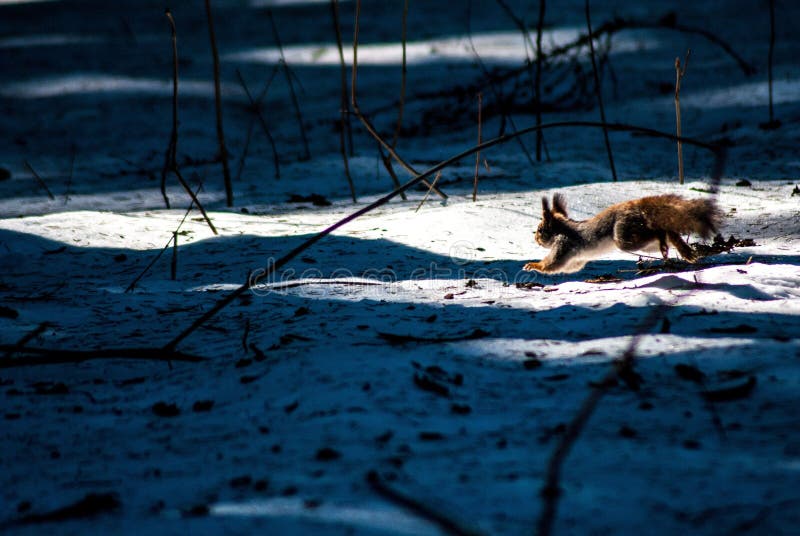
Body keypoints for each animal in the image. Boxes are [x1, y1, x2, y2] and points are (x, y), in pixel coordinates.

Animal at [523, 193, 722, 274]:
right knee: (665, 232)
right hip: (641, 240)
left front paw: (533, 265)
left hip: (624, 237)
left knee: (658, 231)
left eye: (540, 230)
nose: (535, 239)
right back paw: (672, 246)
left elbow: (552, 264)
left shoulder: (564, 244)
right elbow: (567, 268)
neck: (563, 229)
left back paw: (664, 241)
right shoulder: (576, 259)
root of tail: (636, 205)